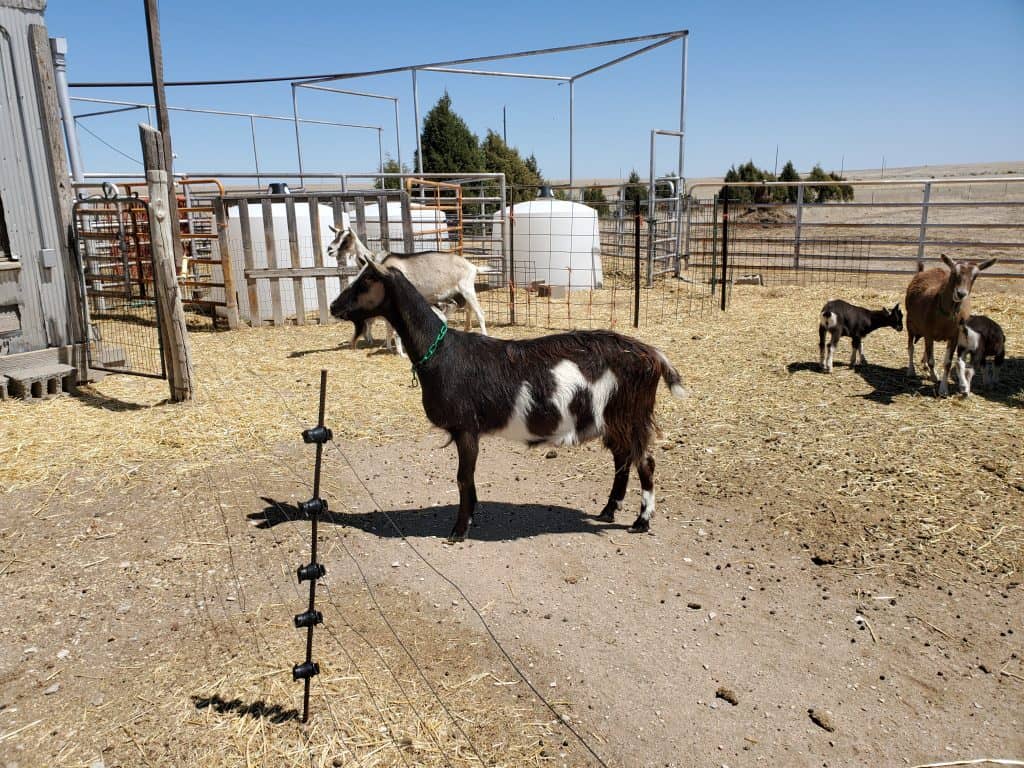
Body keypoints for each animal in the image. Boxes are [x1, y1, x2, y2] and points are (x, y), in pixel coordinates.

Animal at [327, 227, 488, 356]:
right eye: (336, 235)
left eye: (346, 238)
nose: (329, 249)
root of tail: (473, 266)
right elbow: (389, 325)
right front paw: (390, 346)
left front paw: (398, 349)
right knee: (465, 309)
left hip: (467, 289)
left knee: (479, 313)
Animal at [329, 256, 687, 542]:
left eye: (367, 281)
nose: (334, 307)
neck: (442, 352)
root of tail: (653, 355)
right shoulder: (468, 431)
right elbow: (468, 480)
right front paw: (470, 518)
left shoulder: (466, 427)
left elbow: (463, 479)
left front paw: (458, 530)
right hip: (613, 421)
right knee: (622, 460)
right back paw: (608, 510)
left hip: (631, 415)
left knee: (645, 462)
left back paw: (641, 521)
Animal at [905, 254, 997, 396]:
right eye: (954, 273)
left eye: (975, 276)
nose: (961, 294)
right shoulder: (928, 333)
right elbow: (931, 360)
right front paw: (934, 376)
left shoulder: (954, 337)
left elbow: (947, 363)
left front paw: (943, 389)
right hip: (910, 324)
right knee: (911, 347)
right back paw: (911, 370)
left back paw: (924, 365)